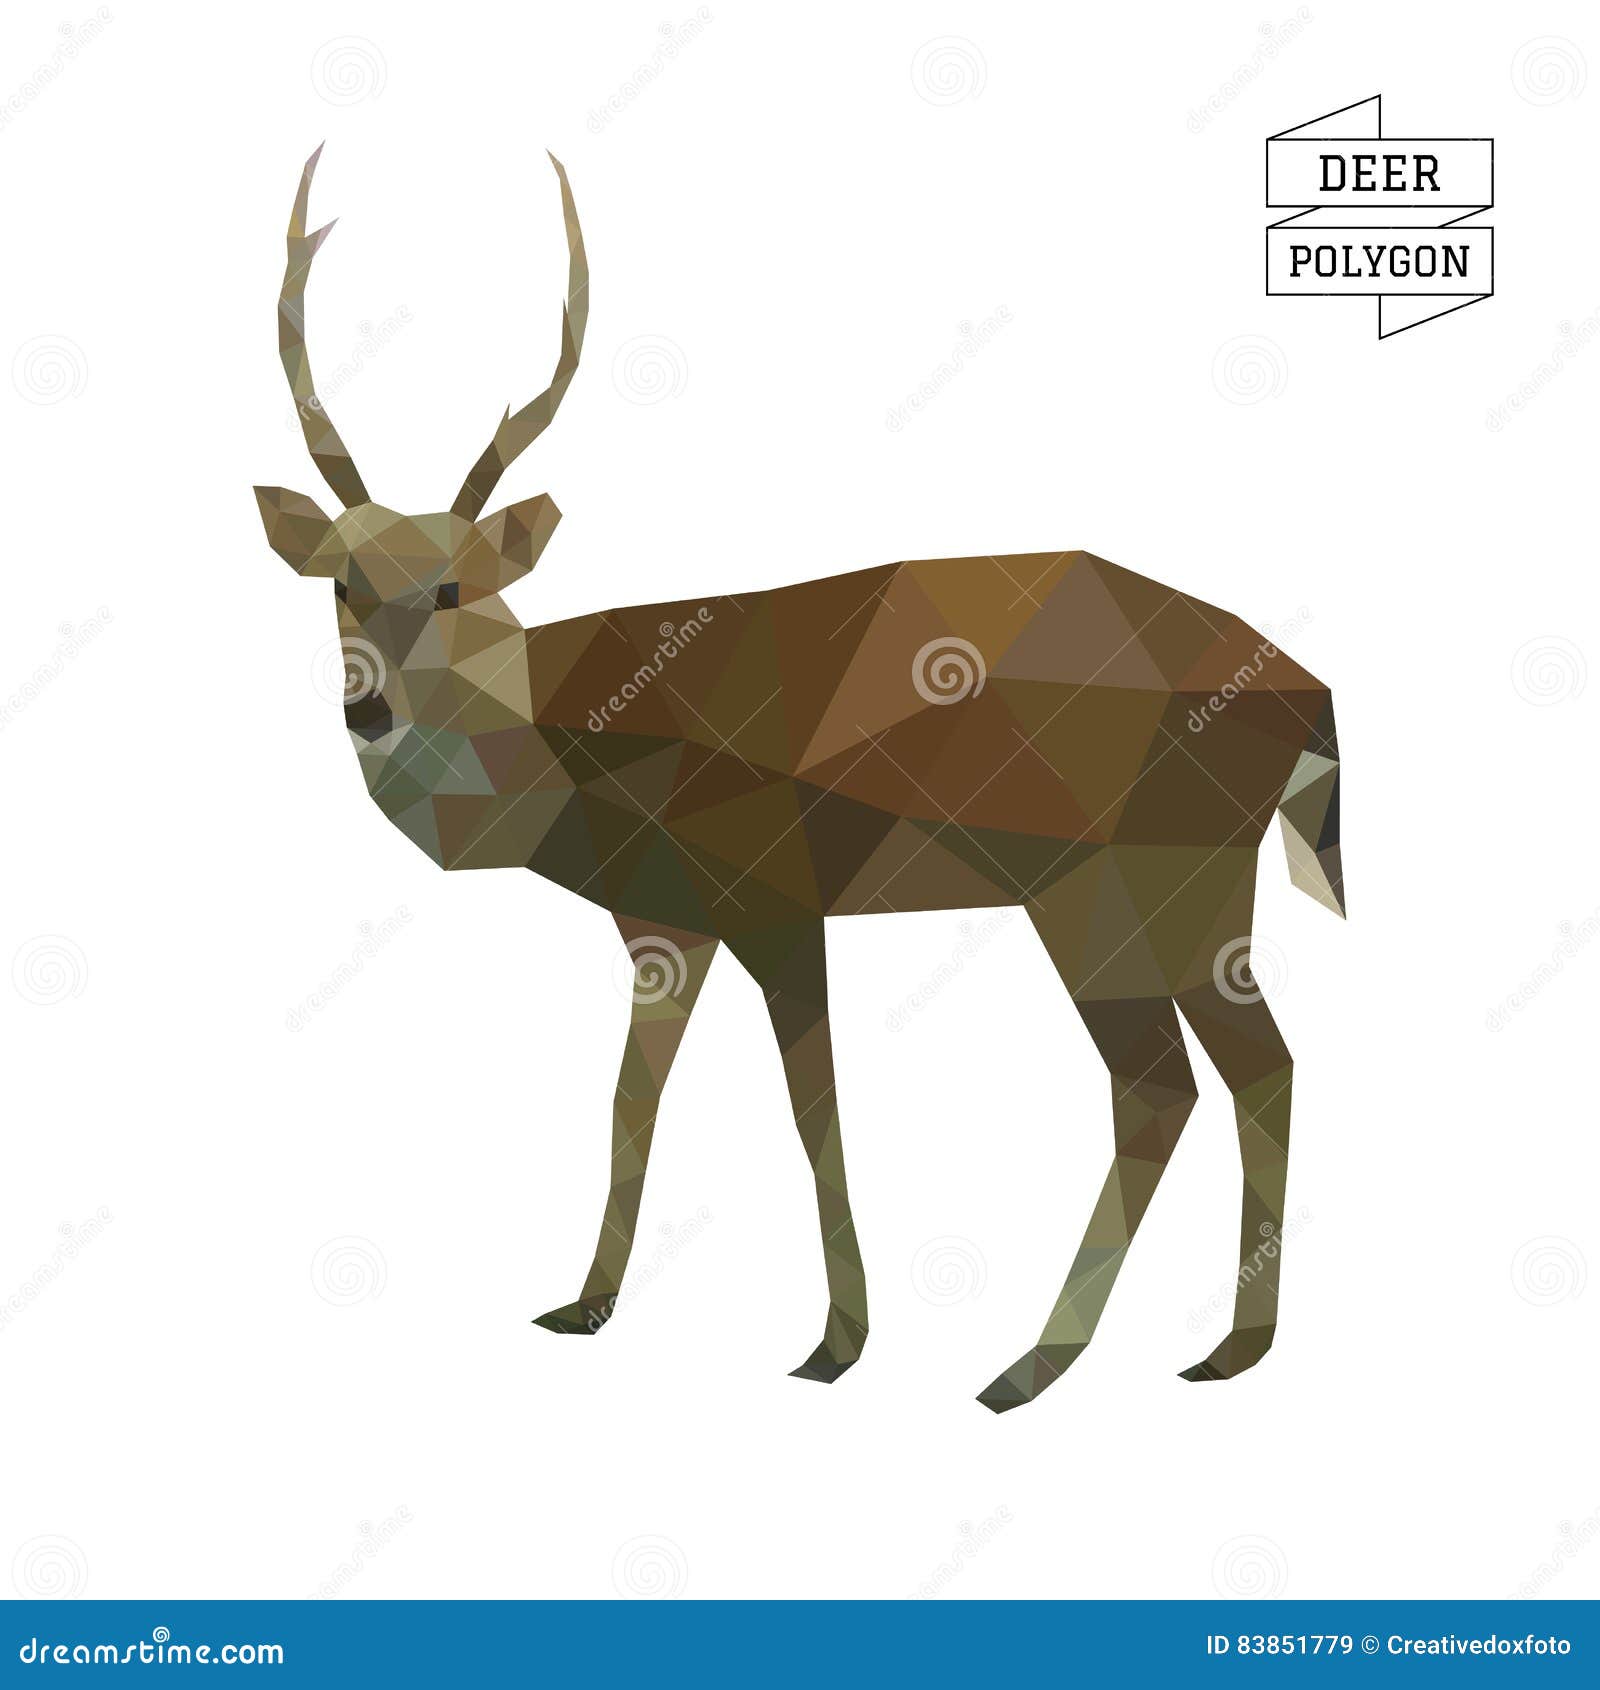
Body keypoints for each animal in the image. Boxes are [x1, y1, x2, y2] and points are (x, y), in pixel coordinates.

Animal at [255, 149, 1344, 1412]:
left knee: (1159, 1080)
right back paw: (1227, 1347)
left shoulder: (776, 894)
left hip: (1109, 879)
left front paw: (837, 1343)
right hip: (1193, 887)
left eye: (452, 586)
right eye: (337, 579)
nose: (368, 707)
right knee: (1260, 1063)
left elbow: (811, 1102)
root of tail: (1306, 688)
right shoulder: (663, 922)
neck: (570, 754)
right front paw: (584, 1303)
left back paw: (1029, 1365)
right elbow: (630, 1098)